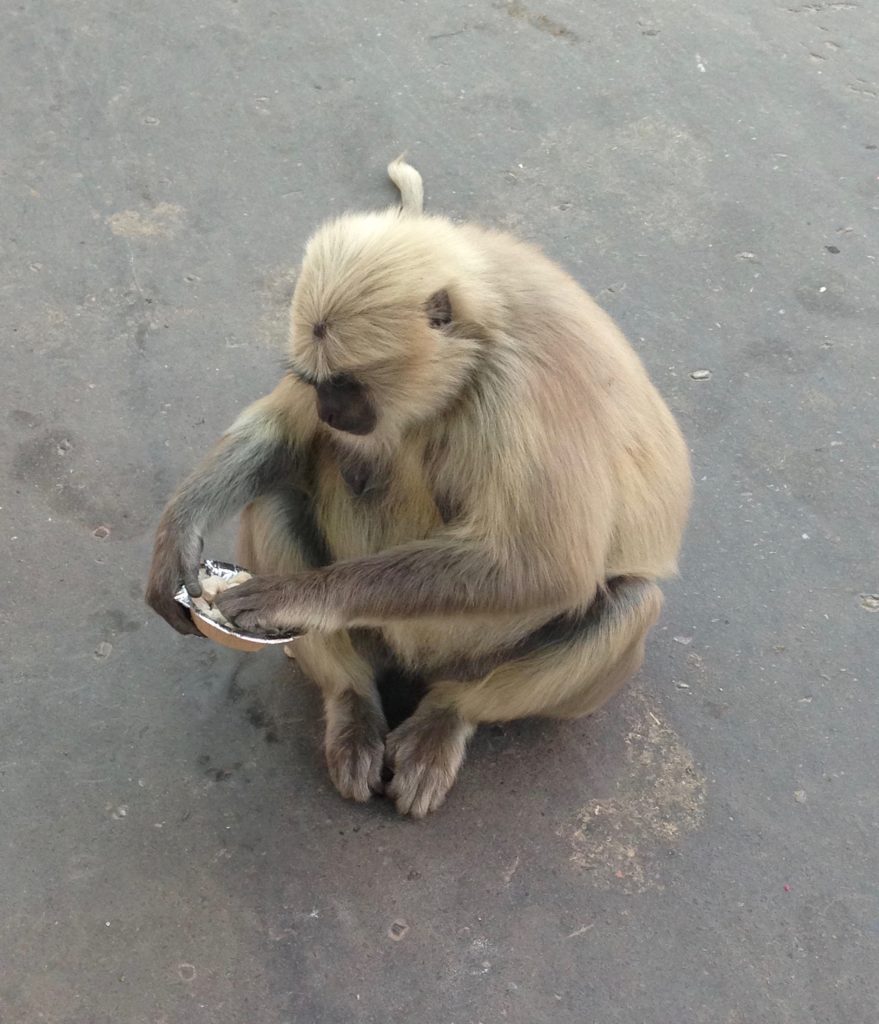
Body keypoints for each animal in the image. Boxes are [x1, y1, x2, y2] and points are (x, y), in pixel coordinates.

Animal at [146, 157, 691, 818]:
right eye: (317, 383)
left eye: (346, 387)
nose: (328, 410)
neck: (483, 322)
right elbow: (286, 438)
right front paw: (177, 535)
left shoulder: (524, 384)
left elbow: (549, 567)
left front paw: (295, 596)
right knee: (279, 496)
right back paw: (352, 700)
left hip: (472, 653)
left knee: (629, 601)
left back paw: (446, 715)